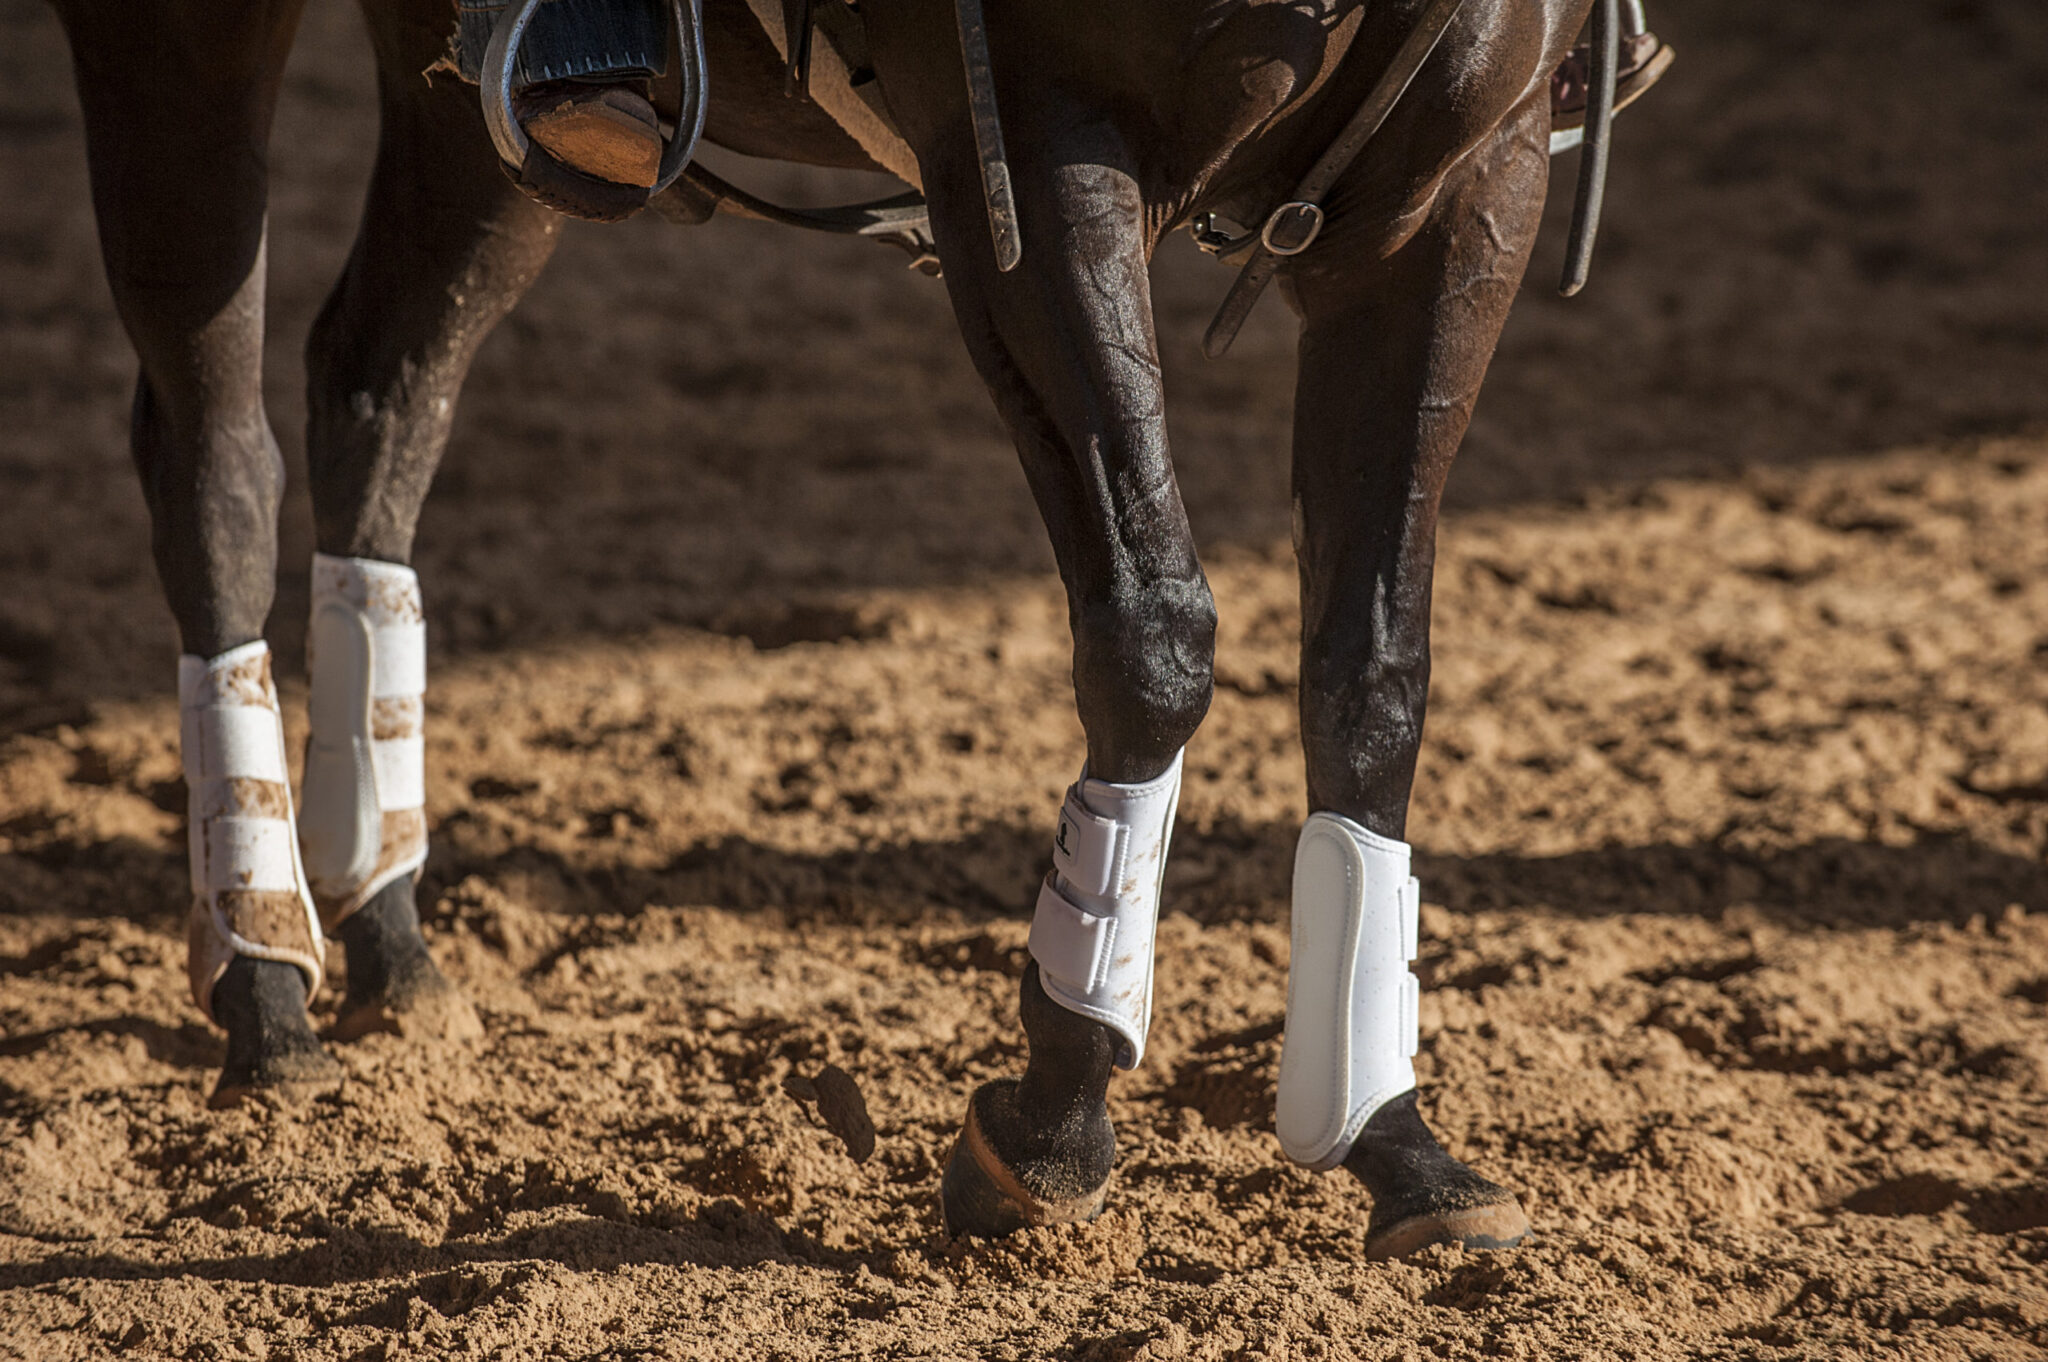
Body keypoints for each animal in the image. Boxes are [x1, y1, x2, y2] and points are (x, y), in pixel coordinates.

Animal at [49, 0, 1599, 1257]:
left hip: (470, 118)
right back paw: (262, 962)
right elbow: (1153, 635)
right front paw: (1054, 1113)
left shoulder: (1465, 186)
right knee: (216, 458)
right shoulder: (1030, 157)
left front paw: (1391, 1134)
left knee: (379, 391)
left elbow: (1371, 667)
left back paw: (377, 907)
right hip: (183, 40)